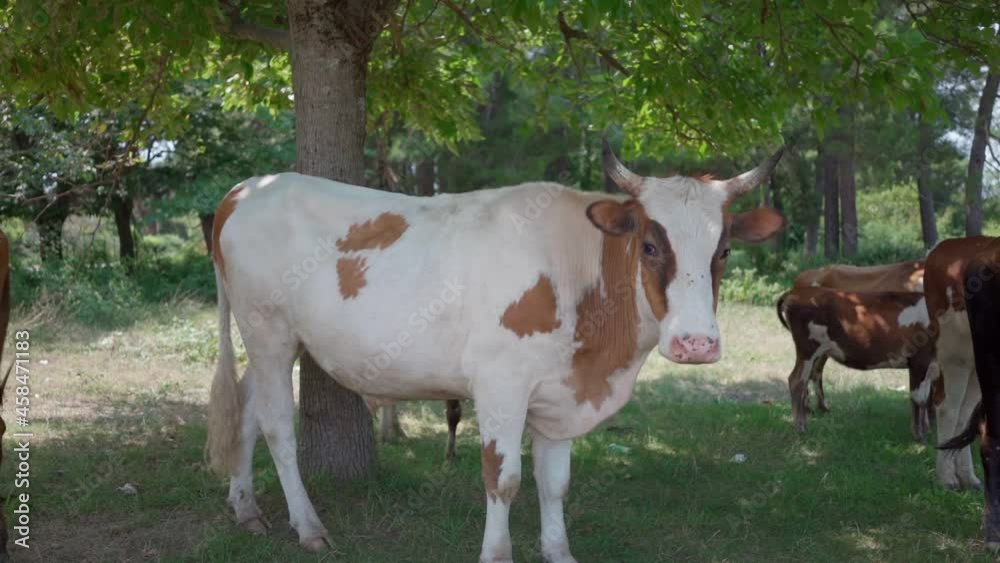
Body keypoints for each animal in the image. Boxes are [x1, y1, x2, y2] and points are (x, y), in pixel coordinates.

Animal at [205, 140, 784, 560]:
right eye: (649, 246)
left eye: (724, 251)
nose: (696, 343)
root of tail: (247, 188)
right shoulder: (501, 385)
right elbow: (503, 480)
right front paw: (498, 553)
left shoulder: (560, 394)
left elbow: (556, 484)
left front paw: (559, 552)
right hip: (268, 331)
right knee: (277, 425)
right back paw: (307, 525)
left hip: (274, 341)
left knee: (248, 410)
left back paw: (245, 507)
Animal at [776, 287, 938, 440]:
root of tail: (795, 292)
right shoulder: (920, 360)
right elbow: (918, 397)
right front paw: (918, 435)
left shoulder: (931, 364)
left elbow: (925, 396)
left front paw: (926, 431)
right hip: (808, 349)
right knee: (796, 380)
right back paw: (800, 428)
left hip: (816, 353)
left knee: (807, 379)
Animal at [924, 236, 1000, 490]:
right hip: (953, 354)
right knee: (948, 407)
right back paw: (946, 477)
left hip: (975, 364)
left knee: (966, 413)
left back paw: (967, 476)